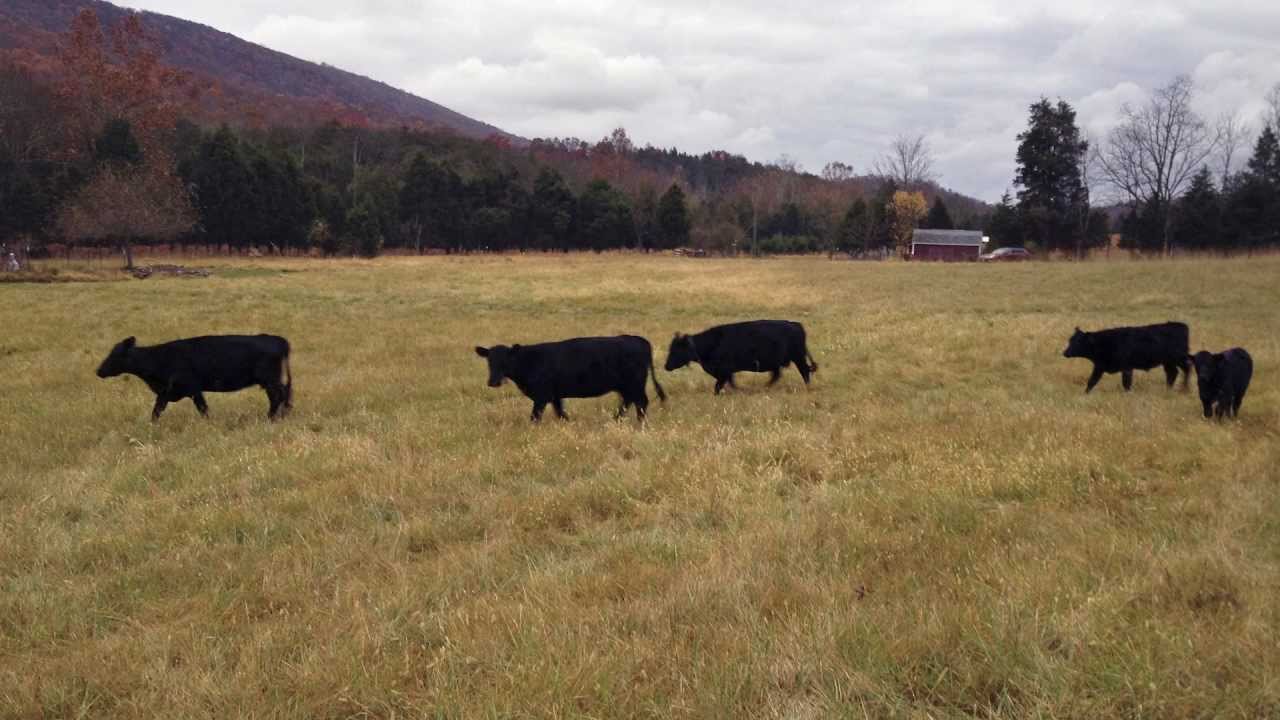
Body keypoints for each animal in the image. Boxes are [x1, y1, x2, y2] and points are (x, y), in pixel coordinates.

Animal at [96, 335, 293, 421]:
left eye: (115, 355)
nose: (99, 371)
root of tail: (277, 339)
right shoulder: (166, 392)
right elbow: (156, 410)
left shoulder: (192, 388)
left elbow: (202, 409)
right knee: (283, 395)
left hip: (270, 380)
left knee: (278, 396)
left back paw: (271, 417)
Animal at [474, 335, 666, 422]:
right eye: (489, 361)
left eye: (506, 360)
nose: (493, 382)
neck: (529, 361)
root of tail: (639, 340)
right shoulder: (554, 396)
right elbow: (561, 413)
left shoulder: (541, 396)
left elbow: (535, 416)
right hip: (626, 386)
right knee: (628, 401)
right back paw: (615, 419)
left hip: (635, 384)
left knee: (641, 402)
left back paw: (639, 423)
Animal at [664, 320, 818, 394]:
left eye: (676, 350)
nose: (666, 366)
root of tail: (795, 324)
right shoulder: (727, 373)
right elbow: (729, 383)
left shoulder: (724, 372)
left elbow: (718, 386)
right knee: (777, 375)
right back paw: (765, 387)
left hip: (798, 358)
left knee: (804, 372)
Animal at [1062, 322, 1191, 393]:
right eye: (1070, 340)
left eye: (1078, 342)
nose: (1065, 353)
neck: (1105, 342)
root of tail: (1181, 325)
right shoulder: (1099, 367)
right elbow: (1092, 381)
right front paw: (1085, 394)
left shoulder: (1126, 368)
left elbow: (1126, 383)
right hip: (1168, 362)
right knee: (1172, 373)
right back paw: (1168, 389)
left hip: (1178, 358)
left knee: (1186, 369)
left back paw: (1184, 389)